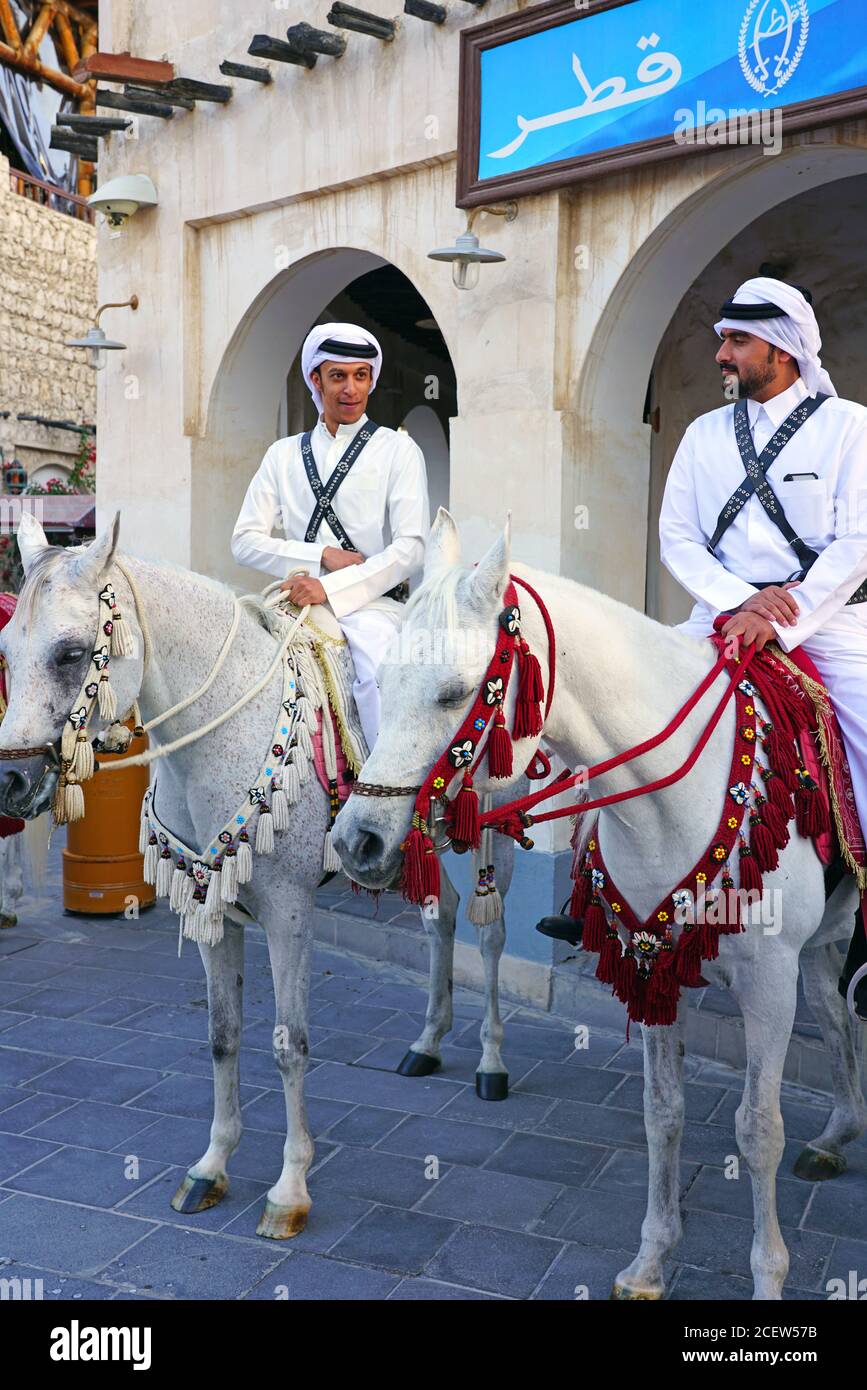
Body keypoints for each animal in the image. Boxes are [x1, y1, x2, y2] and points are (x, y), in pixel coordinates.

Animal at [333, 507, 867, 1300]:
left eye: (454, 693)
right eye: (386, 678)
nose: (356, 841)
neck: (673, 800)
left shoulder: (766, 983)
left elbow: (758, 1129)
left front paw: (768, 1275)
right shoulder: (656, 967)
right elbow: (663, 1113)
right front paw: (651, 1260)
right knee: (834, 1020)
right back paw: (836, 1135)